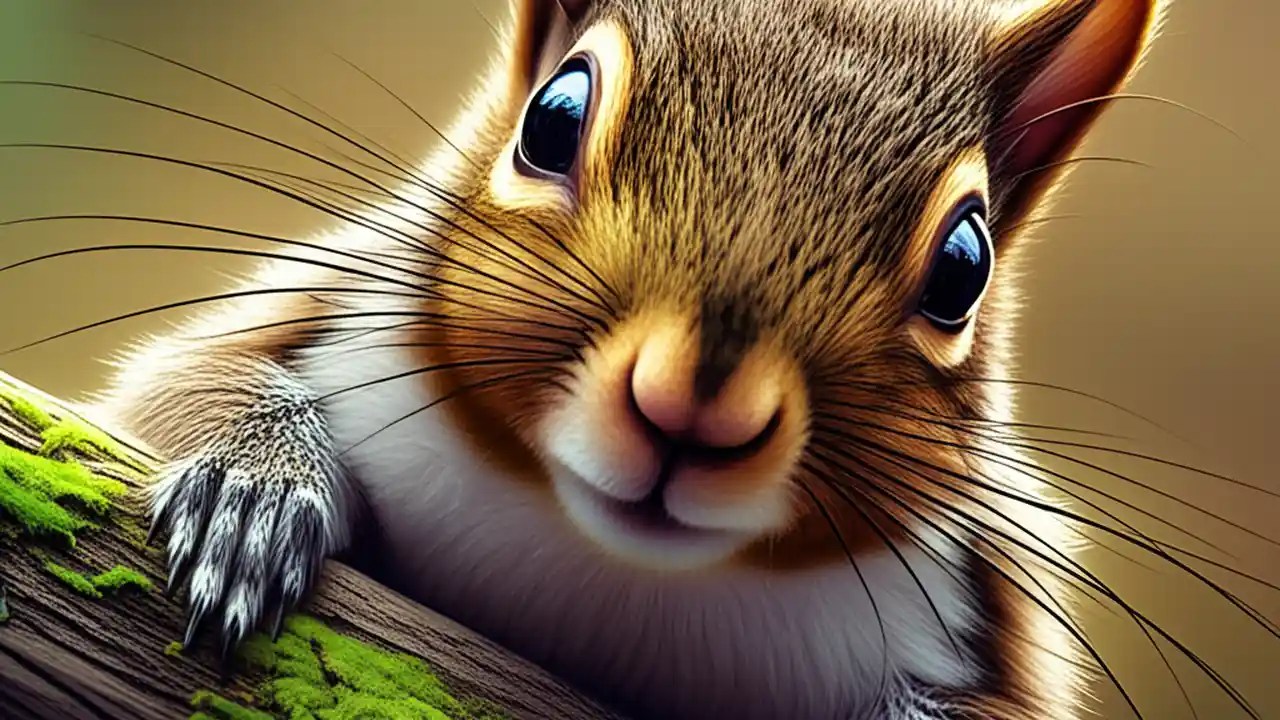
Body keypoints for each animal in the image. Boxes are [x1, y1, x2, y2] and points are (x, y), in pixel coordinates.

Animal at [84, 0, 1171, 718]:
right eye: (552, 118)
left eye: (964, 264)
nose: (693, 412)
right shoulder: (330, 304)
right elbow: (176, 392)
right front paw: (250, 495)